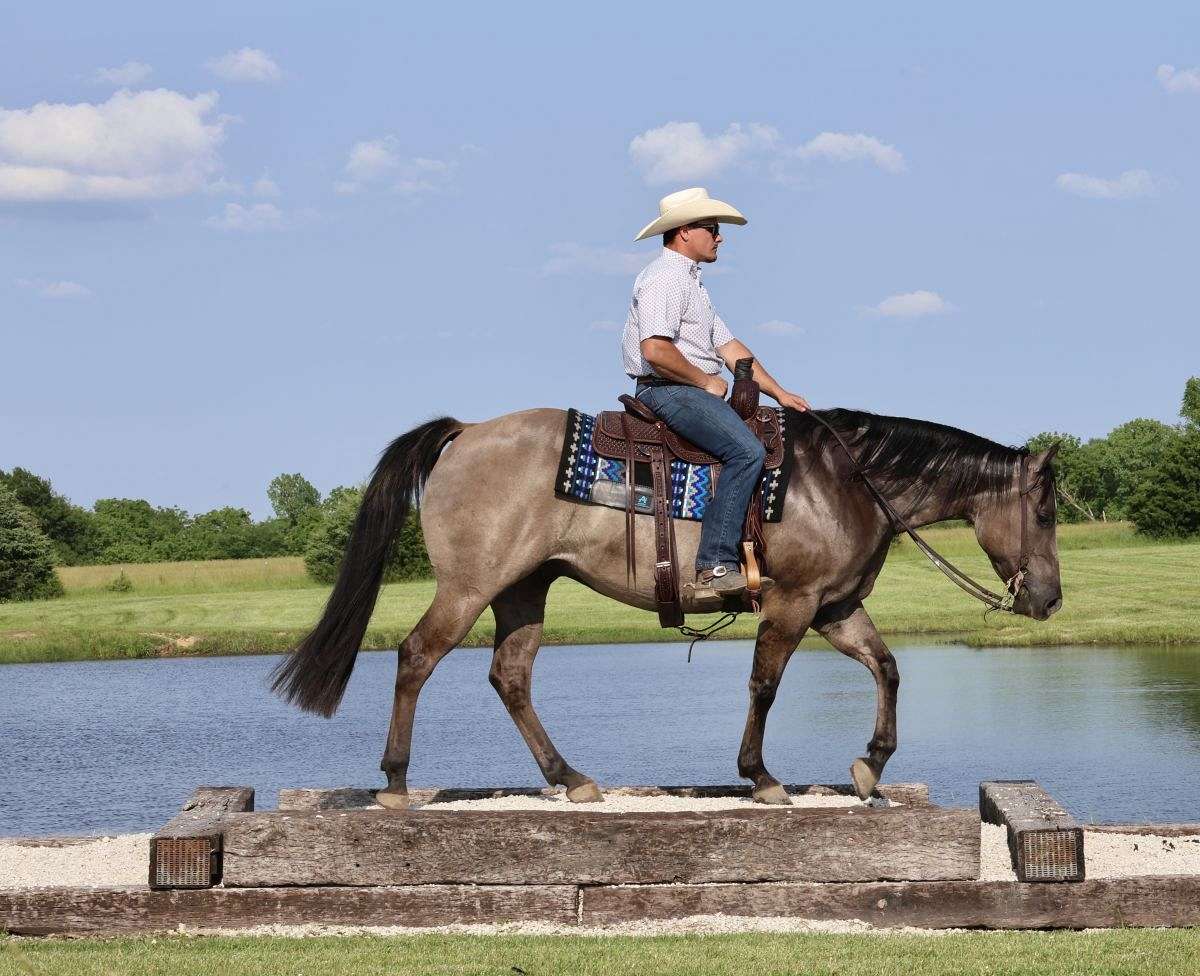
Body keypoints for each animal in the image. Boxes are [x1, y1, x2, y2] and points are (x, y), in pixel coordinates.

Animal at [271, 406, 1062, 808]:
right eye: (1047, 511)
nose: (1051, 598)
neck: (850, 480)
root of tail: (465, 433)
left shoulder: (834, 607)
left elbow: (887, 667)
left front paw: (871, 765)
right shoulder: (794, 602)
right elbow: (764, 684)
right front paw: (760, 776)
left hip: (525, 590)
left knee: (510, 676)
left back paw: (570, 779)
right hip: (469, 587)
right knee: (416, 657)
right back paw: (396, 782)